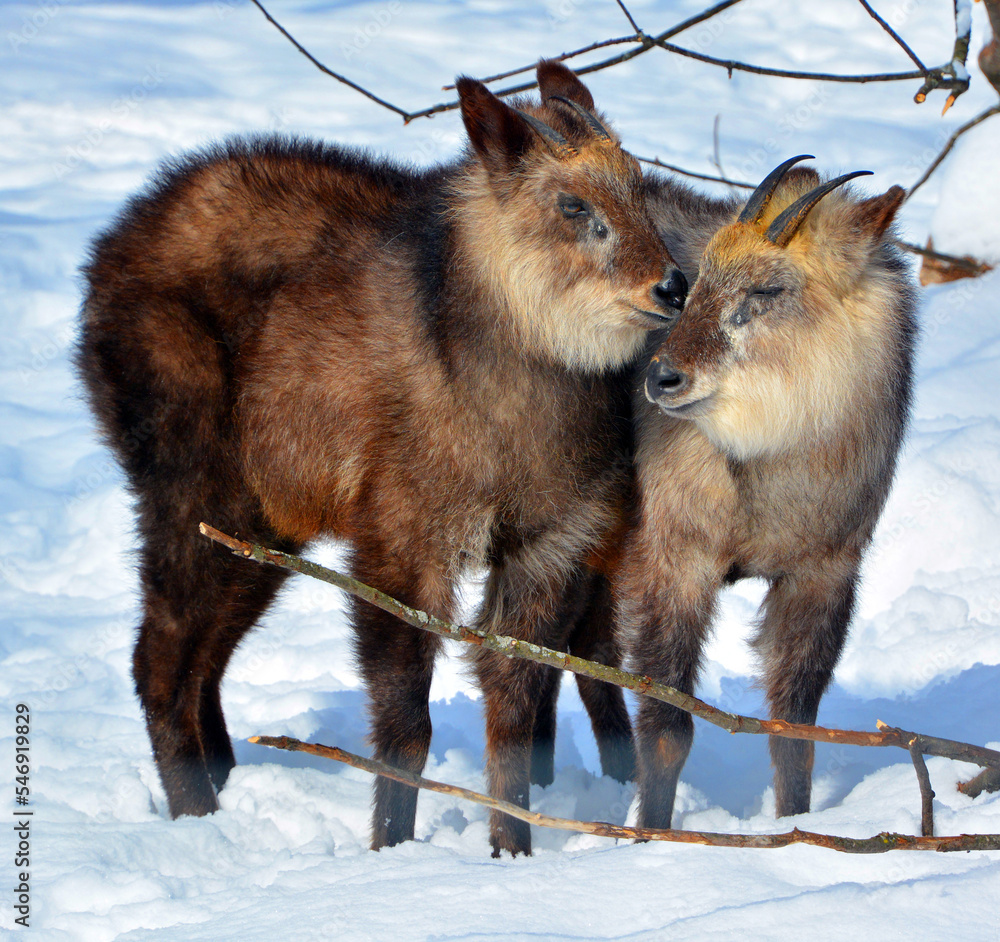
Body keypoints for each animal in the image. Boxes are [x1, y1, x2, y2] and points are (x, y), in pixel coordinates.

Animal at [77, 61, 686, 856]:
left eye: (640, 186)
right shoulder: (401, 544)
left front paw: (511, 854)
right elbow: (404, 729)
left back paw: (225, 788)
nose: (673, 286)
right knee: (157, 660)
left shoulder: (550, 543)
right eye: (572, 204)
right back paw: (197, 819)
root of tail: (104, 256)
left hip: (264, 530)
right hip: (194, 494)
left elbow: (516, 715)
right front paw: (392, 851)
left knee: (203, 661)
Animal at [609, 157, 917, 828]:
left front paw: (795, 828)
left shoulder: (822, 572)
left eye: (767, 291)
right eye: (696, 281)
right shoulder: (677, 564)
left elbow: (795, 733)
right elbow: (667, 728)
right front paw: (648, 838)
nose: (660, 377)